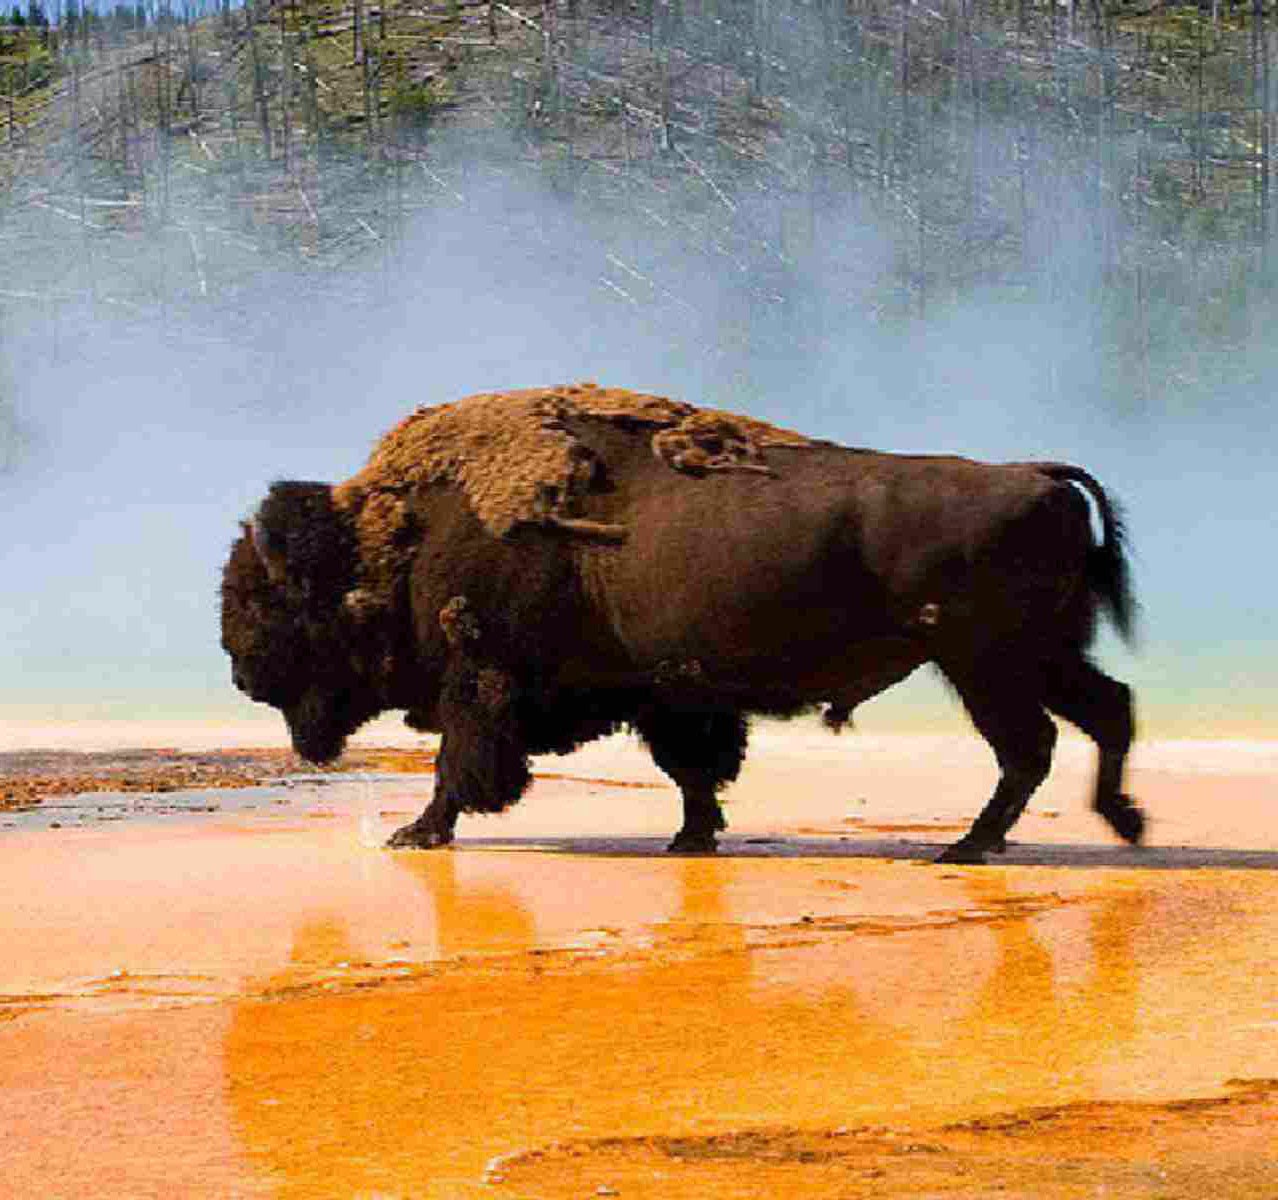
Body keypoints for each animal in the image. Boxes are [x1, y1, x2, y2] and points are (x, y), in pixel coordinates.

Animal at [220, 384, 1143, 864]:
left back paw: (967, 848)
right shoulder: (668, 695)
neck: (400, 534)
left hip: (984, 663)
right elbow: (693, 769)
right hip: (1036, 655)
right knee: (1106, 712)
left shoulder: (479, 683)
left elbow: (460, 764)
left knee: (1031, 744)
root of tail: (1035, 476)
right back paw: (1117, 822)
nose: (241, 671)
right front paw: (692, 840)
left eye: (271, 601)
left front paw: (416, 833)